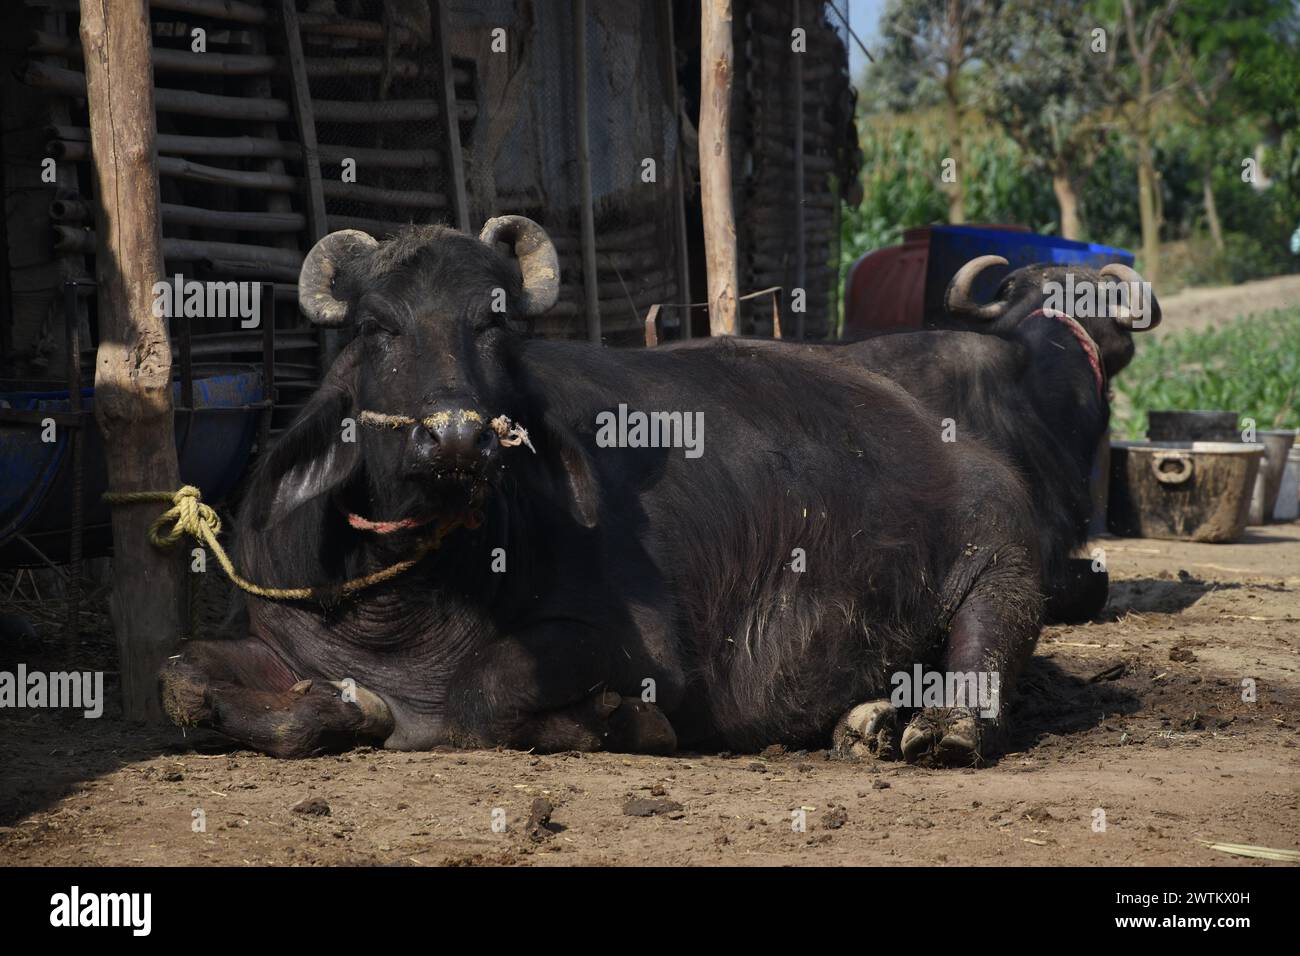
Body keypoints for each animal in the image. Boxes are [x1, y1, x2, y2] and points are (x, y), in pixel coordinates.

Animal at [161, 218, 1043, 766]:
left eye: (495, 323)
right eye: (377, 327)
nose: (457, 438)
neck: (406, 595)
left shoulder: (645, 649)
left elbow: (484, 690)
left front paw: (621, 719)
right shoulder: (280, 638)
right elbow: (185, 677)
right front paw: (344, 708)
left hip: (1002, 561)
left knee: (981, 659)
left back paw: (940, 730)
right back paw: (867, 725)